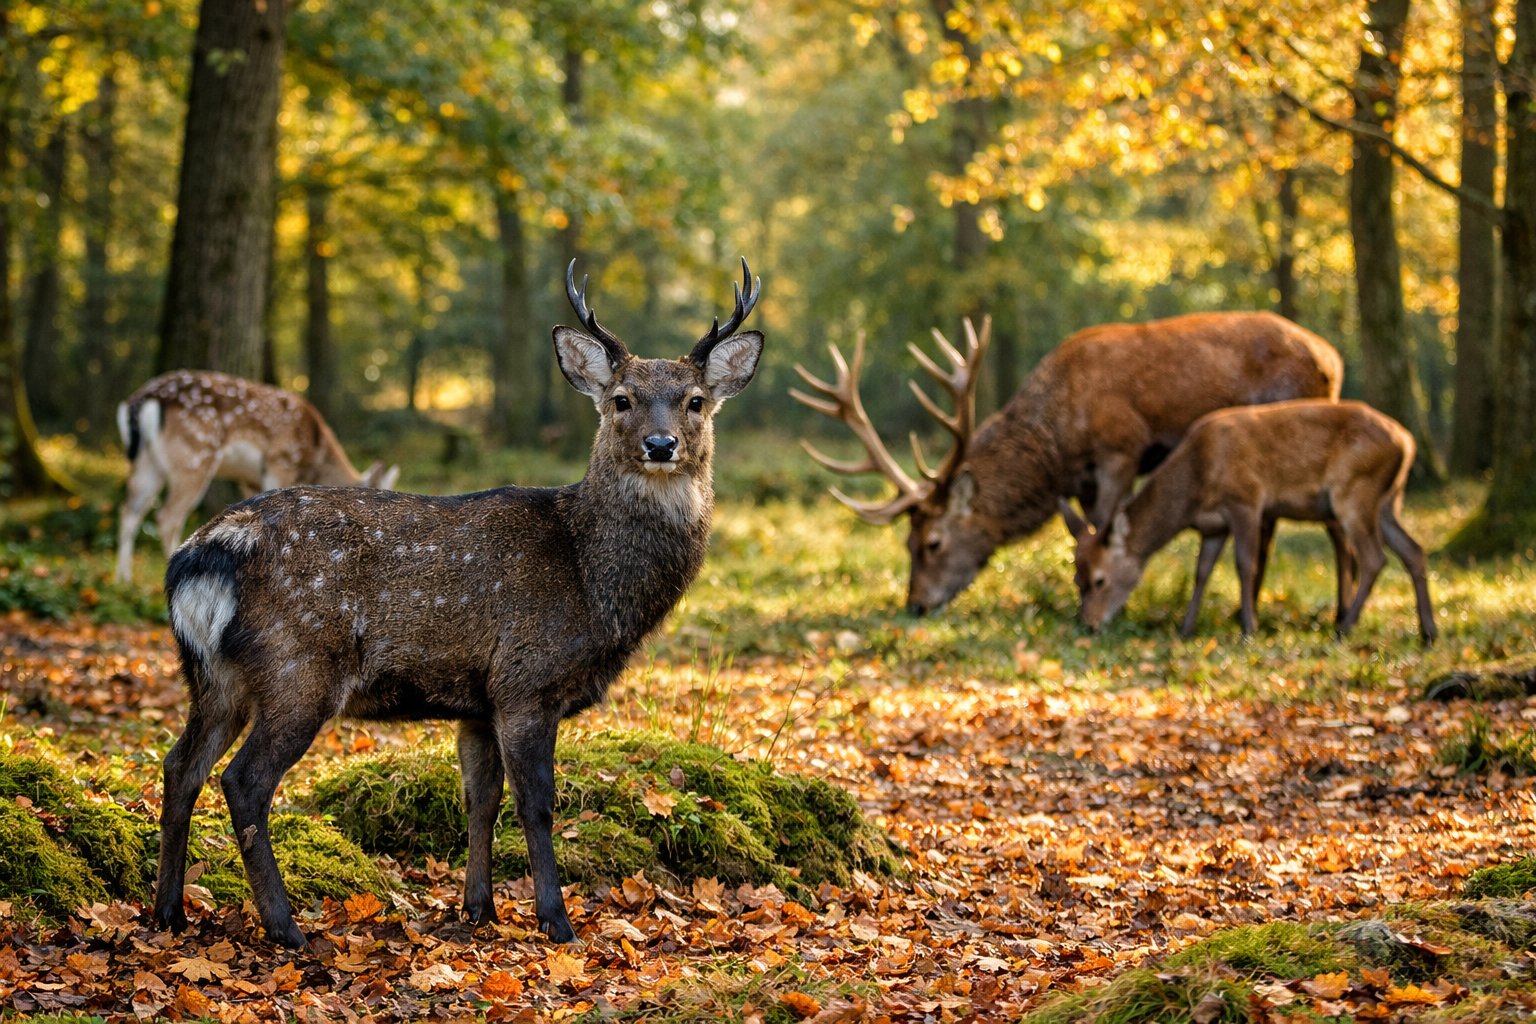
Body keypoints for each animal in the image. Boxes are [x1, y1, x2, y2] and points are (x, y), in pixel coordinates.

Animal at [115, 370, 400, 584]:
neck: (315, 453)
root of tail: (143, 400)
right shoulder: (280, 462)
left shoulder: (249, 480)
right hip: (195, 455)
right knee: (167, 516)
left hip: (147, 462)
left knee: (130, 510)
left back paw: (124, 580)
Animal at [151, 259, 764, 949]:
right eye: (621, 399)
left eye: (695, 401)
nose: (661, 444)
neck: (592, 582)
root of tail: (202, 555)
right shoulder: (526, 680)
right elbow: (537, 804)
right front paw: (555, 921)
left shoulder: (478, 699)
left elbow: (480, 799)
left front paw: (479, 909)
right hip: (297, 667)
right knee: (243, 781)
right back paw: (286, 928)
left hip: (214, 676)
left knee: (179, 767)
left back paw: (169, 912)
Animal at [791, 311, 1344, 614]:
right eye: (906, 544)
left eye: (932, 542)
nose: (917, 604)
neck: (1056, 443)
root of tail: (1332, 360)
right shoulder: (1081, 478)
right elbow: (1083, 531)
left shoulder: (1122, 448)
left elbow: (1104, 524)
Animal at [1061, 399, 1436, 644]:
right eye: (1076, 578)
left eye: (1099, 580)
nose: (1088, 625)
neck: (1196, 485)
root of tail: (1408, 442)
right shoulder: (1213, 526)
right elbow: (1202, 572)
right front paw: (1186, 628)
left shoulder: (1246, 500)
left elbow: (1246, 564)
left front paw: (1248, 629)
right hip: (1388, 501)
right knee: (1413, 550)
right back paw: (1428, 631)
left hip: (1355, 492)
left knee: (1374, 557)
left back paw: (1344, 628)